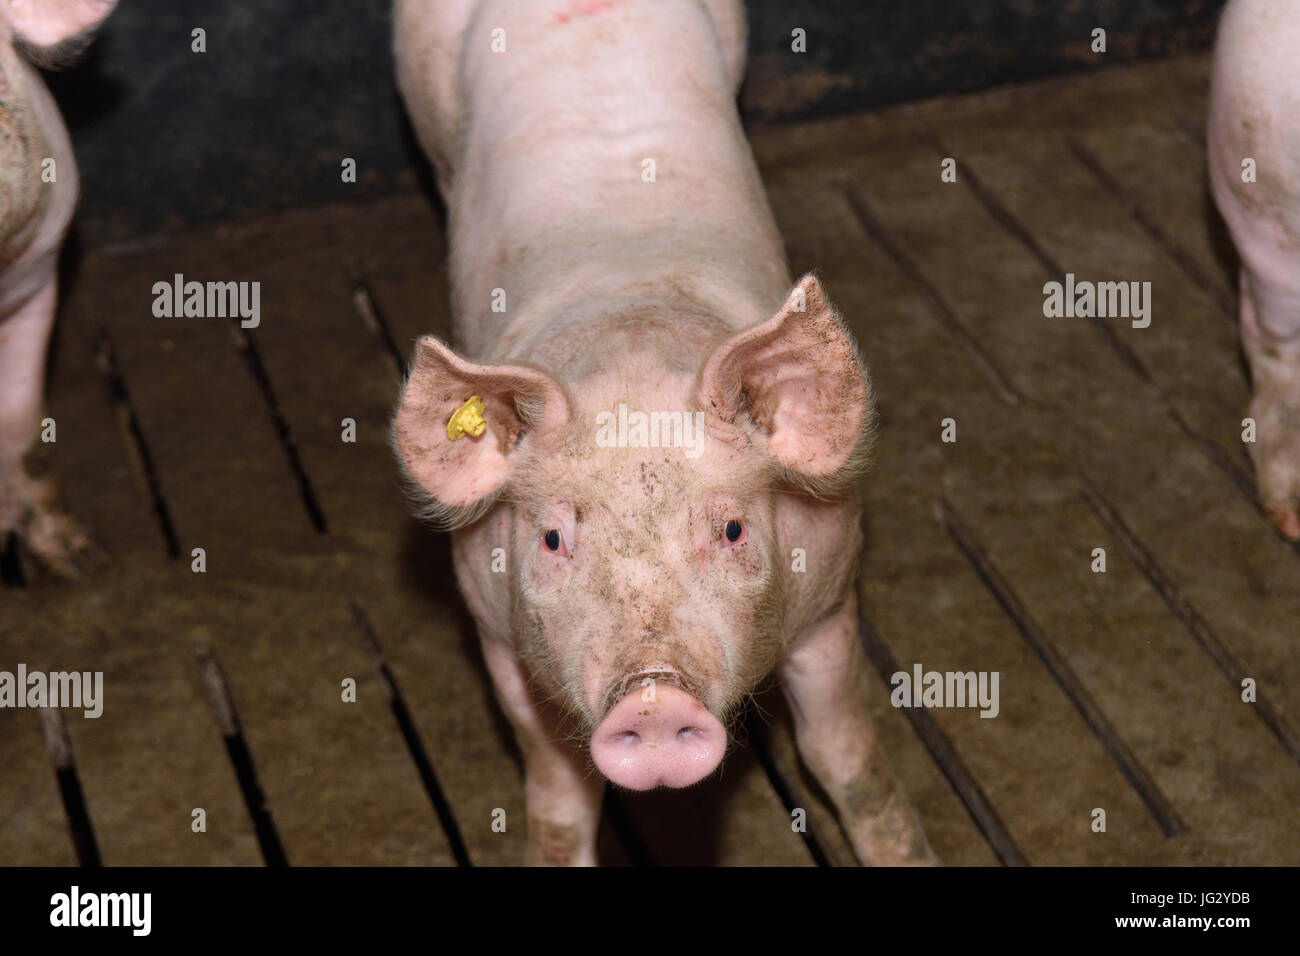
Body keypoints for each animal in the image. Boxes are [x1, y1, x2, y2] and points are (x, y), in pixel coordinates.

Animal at [392, 0, 937, 865]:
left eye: (732, 528)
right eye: (552, 538)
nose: (650, 699)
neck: (632, 336)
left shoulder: (830, 588)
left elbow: (845, 754)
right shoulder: (491, 621)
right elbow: (558, 790)